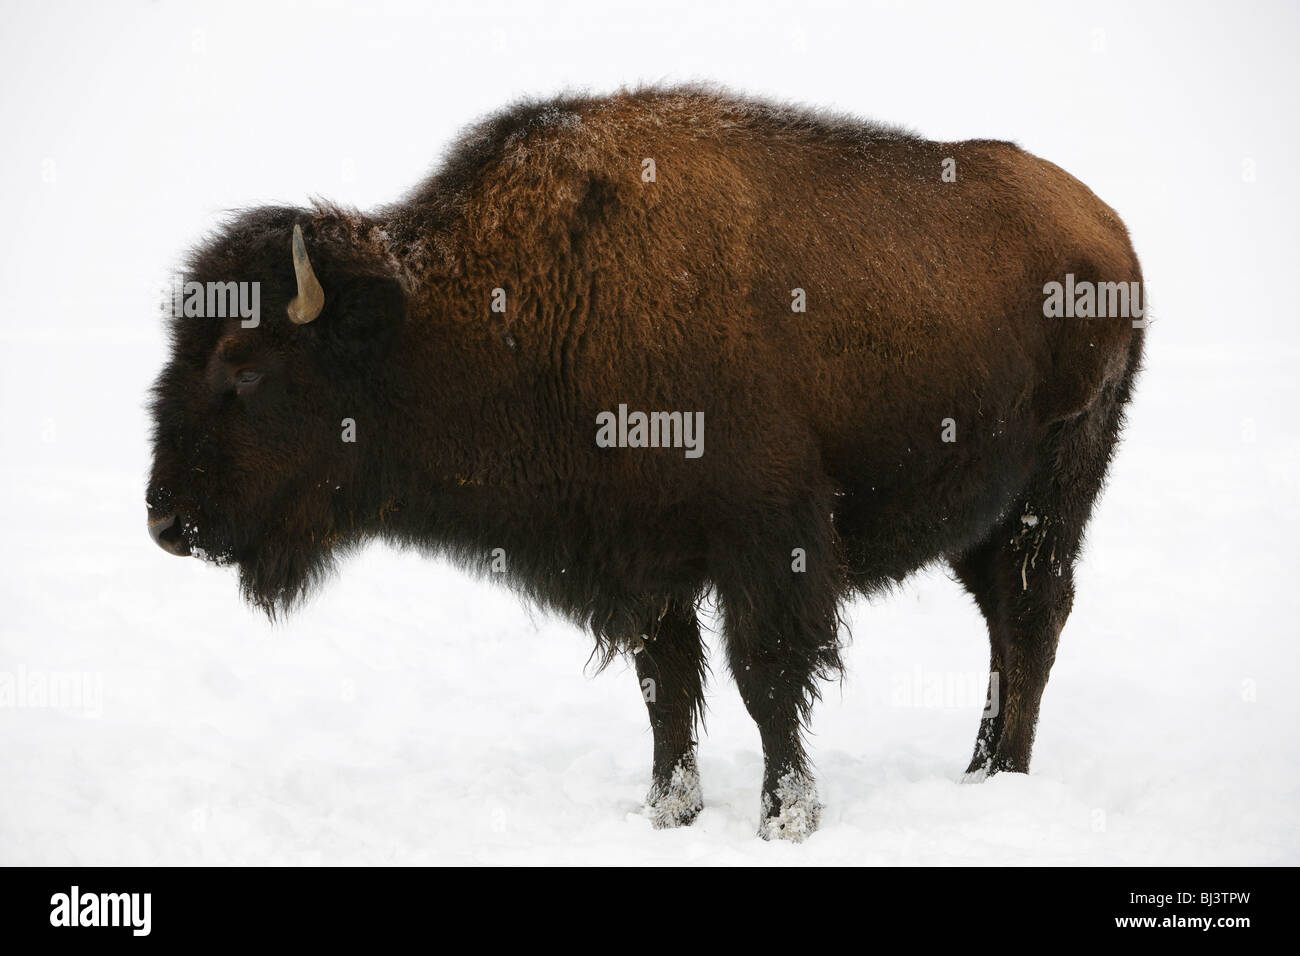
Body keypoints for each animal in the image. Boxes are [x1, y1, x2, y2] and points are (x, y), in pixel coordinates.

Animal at [147, 85, 1144, 841]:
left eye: (246, 369)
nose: (165, 520)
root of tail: (1108, 232)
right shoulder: (639, 562)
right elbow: (666, 684)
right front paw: (667, 811)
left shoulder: (766, 544)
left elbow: (765, 680)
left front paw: (784, 819)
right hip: (987, 519)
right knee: (1005, 624)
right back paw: (979, 772)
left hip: (1053, 494)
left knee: (1030, 617)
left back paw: (999, 779)